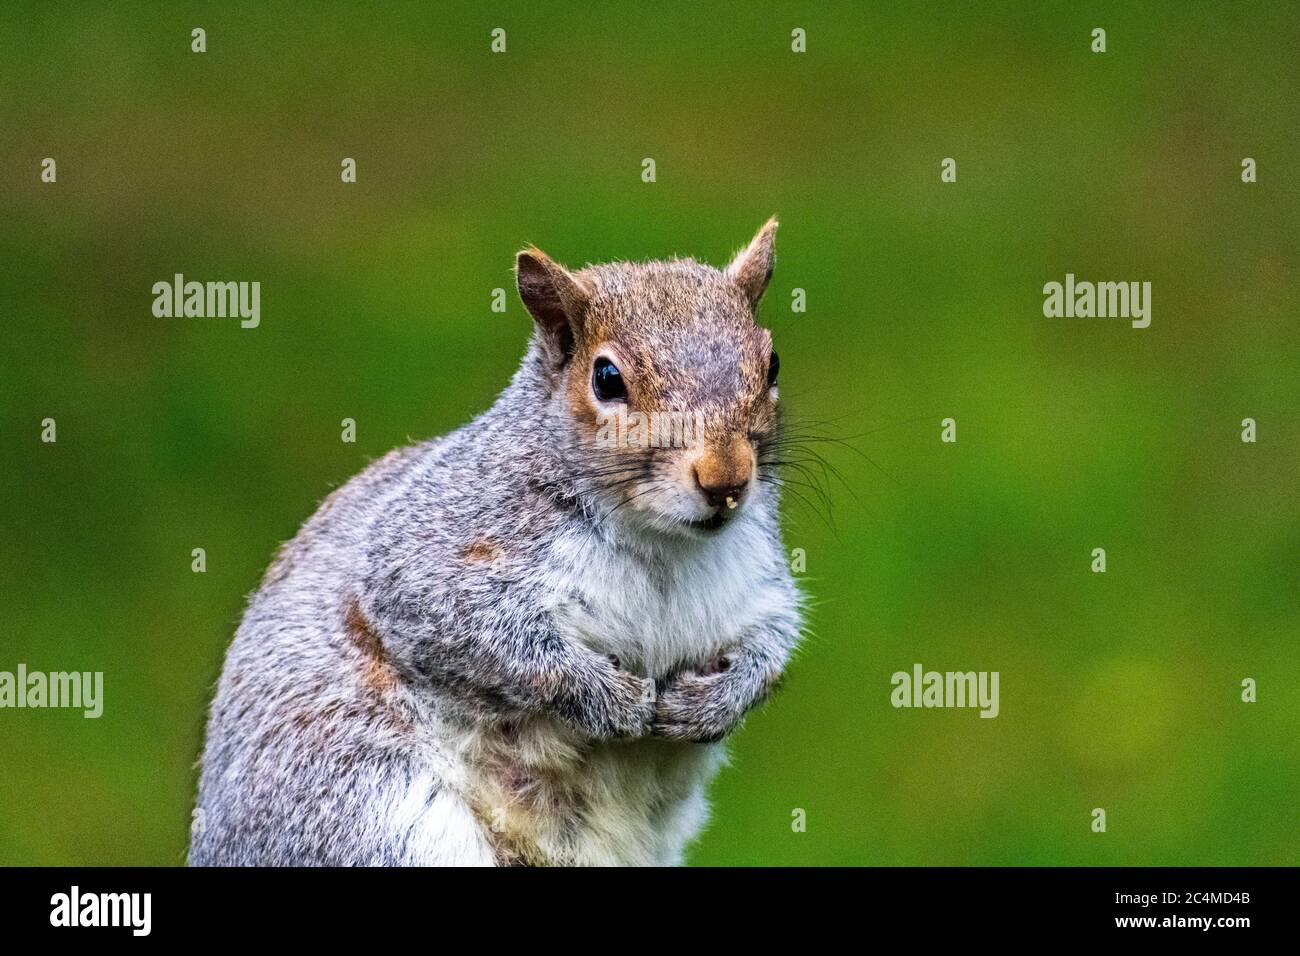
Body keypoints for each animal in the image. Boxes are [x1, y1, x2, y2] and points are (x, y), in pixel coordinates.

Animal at [189, 219, 804, 866]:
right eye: (607, 379)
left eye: (772, 364)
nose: (726, 479)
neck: (662, 540)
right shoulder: (439, 548)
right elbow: (489, 639)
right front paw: (608, 698)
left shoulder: (760, 581)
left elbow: (773, 641)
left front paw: (716, 703)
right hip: (365, 806)